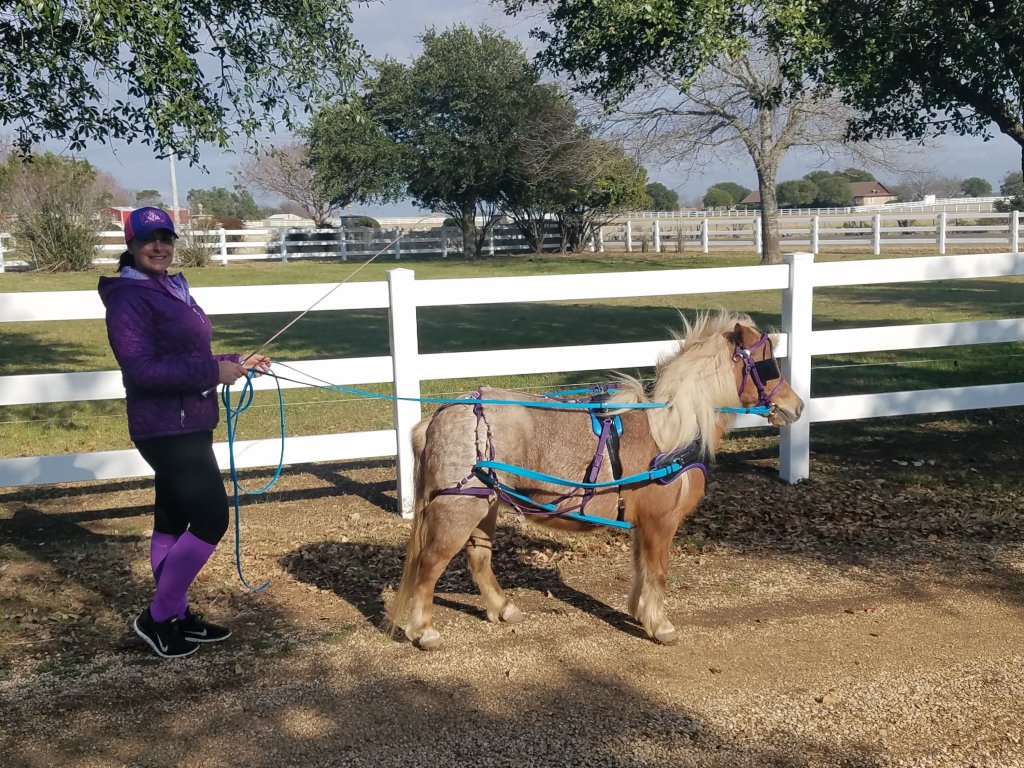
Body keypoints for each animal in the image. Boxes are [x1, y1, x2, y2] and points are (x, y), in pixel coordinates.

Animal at [388, 311, 805, 649]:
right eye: (767, 365)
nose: (797, 406)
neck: (670, 431)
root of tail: (439, 416)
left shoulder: (642, 524)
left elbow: (641, 569)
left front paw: (639, 612)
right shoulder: (660, 522)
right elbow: (658, 572)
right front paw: (661, 626)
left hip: (485, 505)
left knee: (478, 558)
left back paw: (503, 608)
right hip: (459, 509)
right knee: (430, 564)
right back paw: (424, 631)